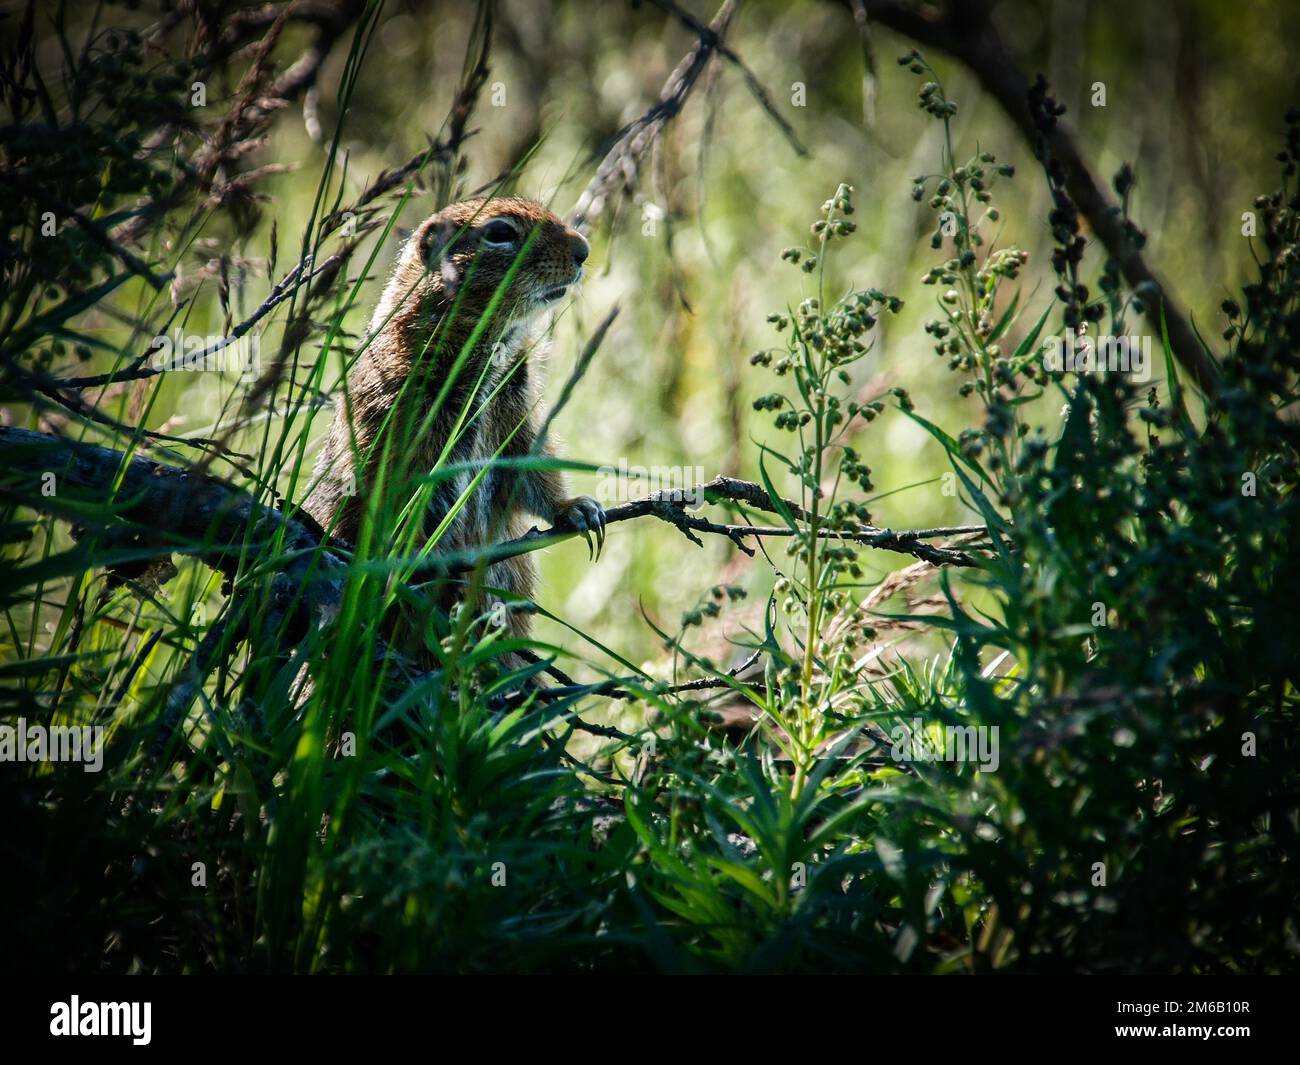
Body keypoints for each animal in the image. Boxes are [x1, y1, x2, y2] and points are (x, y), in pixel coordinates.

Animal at [302, 196, 605, 653]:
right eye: (500, 233)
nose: (583, 250)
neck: (488, 354)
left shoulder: (513, 412)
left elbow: (530, 471)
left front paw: (577, 508)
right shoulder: (399, 411)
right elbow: (392, 494)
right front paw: (413, 564)